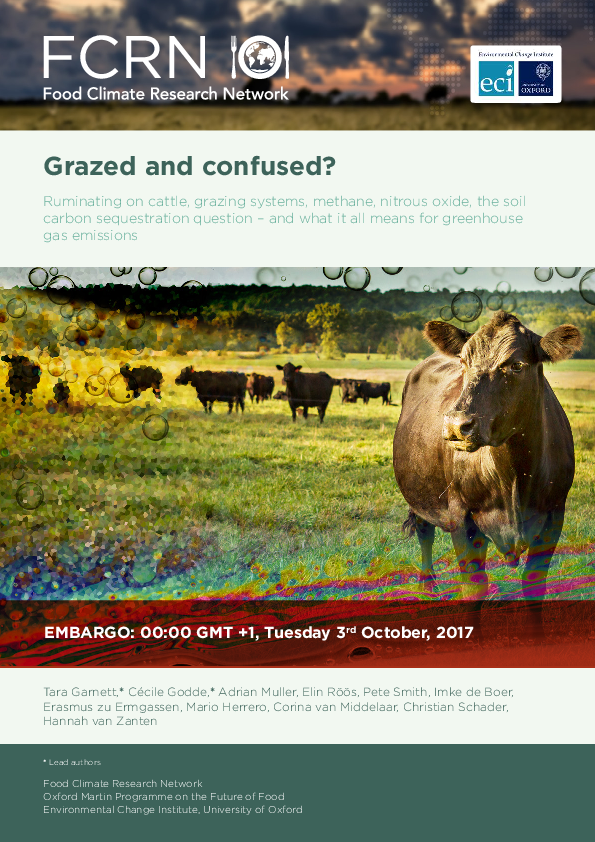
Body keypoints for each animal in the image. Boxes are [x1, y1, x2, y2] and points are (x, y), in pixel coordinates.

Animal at [393, 312, 582, 636]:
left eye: (516, 365)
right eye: (464, 361)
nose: (457, 424)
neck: (514, 478)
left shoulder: (555, 513)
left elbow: (534, 585)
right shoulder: (461, 515)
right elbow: (474, 588)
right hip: (419, 494)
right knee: (424, 532)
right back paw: (428, 586)